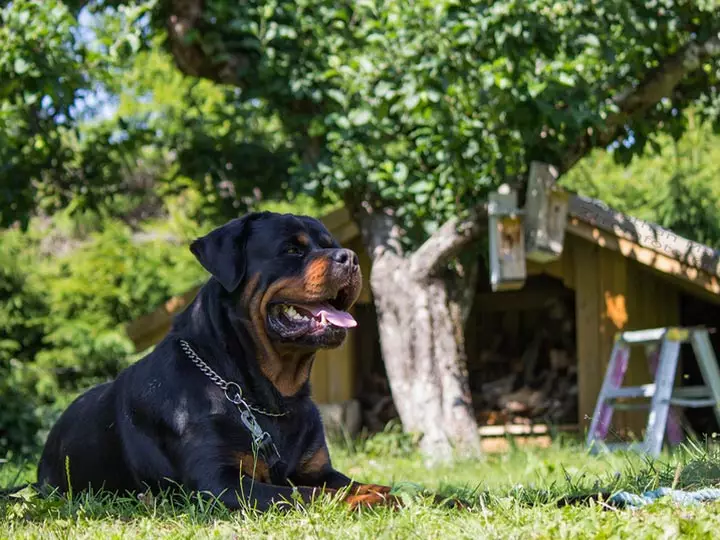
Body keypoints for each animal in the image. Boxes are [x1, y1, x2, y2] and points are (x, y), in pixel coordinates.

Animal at [35, 210, 404, 510]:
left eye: (332, 245)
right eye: (292, 250)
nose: (350, 257)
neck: (267, 398)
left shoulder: (318, 469)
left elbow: (355, 483)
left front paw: (394, 491)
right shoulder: (219, 483)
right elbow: (309, 494)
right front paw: (366, 500)